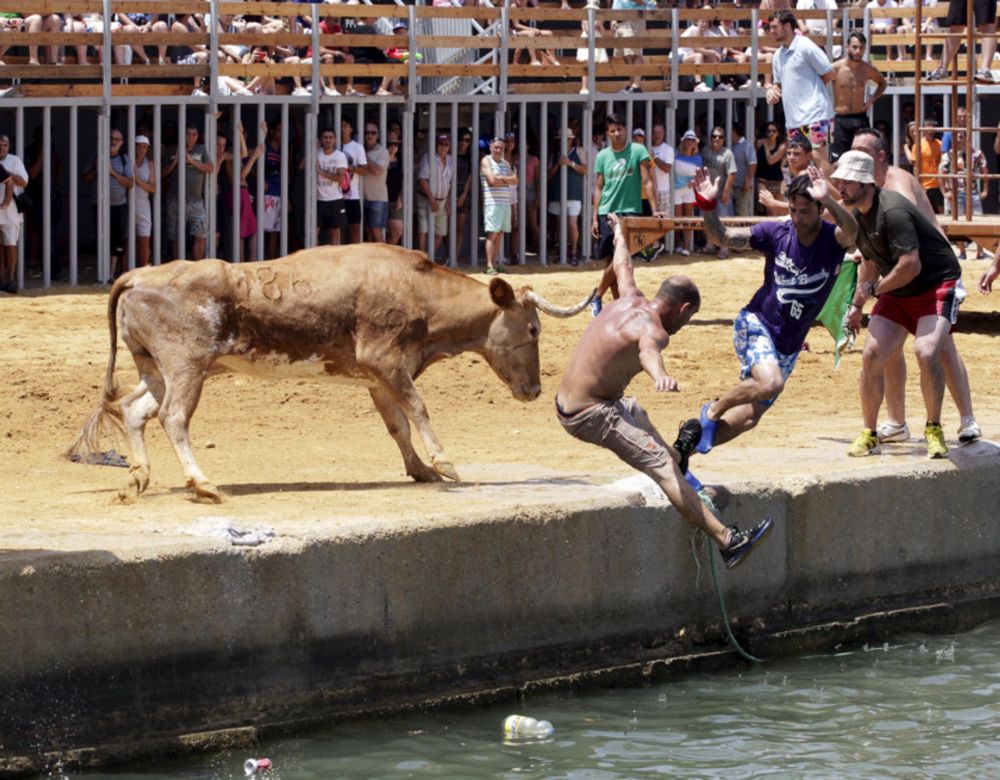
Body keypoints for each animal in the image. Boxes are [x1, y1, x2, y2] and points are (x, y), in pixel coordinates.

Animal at [67, 244, 594, 503]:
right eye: (533, 329)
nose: (534, 390)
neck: (418, 289)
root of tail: (138, 275)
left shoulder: (378, 377)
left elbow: (398, 424)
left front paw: (420, 469)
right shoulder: (386, 360)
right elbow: (418, 409)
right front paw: (444, 463)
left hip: (155, 367)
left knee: (134, 409)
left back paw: (137, 478)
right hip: (187, 366)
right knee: (173, 417)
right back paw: (203, 484)